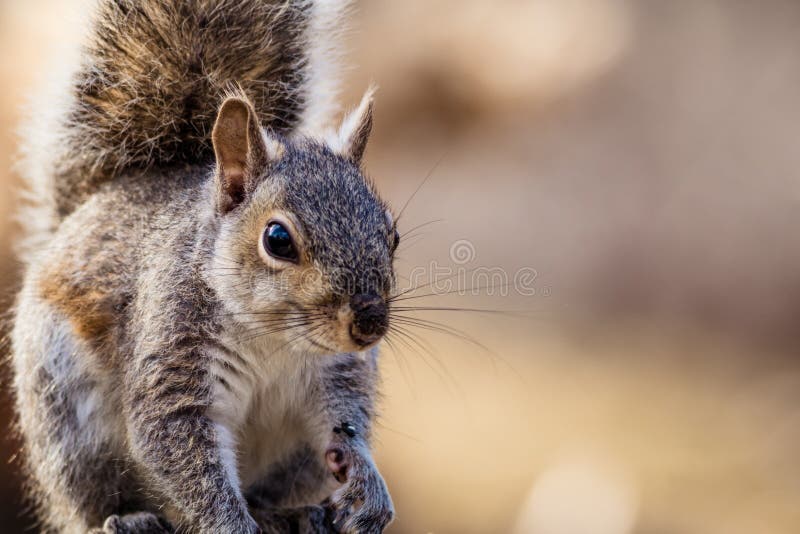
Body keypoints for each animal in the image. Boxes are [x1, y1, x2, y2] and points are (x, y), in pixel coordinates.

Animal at [11, 0, 397, 532]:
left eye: (393, 235)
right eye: (277, 240)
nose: (369, 323)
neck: (273, 338)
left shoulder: (337, 369)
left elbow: (345, 419)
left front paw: (367, 481)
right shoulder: (173, 356)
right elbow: (181, 453)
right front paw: (231, 524)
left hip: (295, 461)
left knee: (268, 493)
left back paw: (293, 512)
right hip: (66, 419)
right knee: (86, 505)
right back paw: (127, 518)